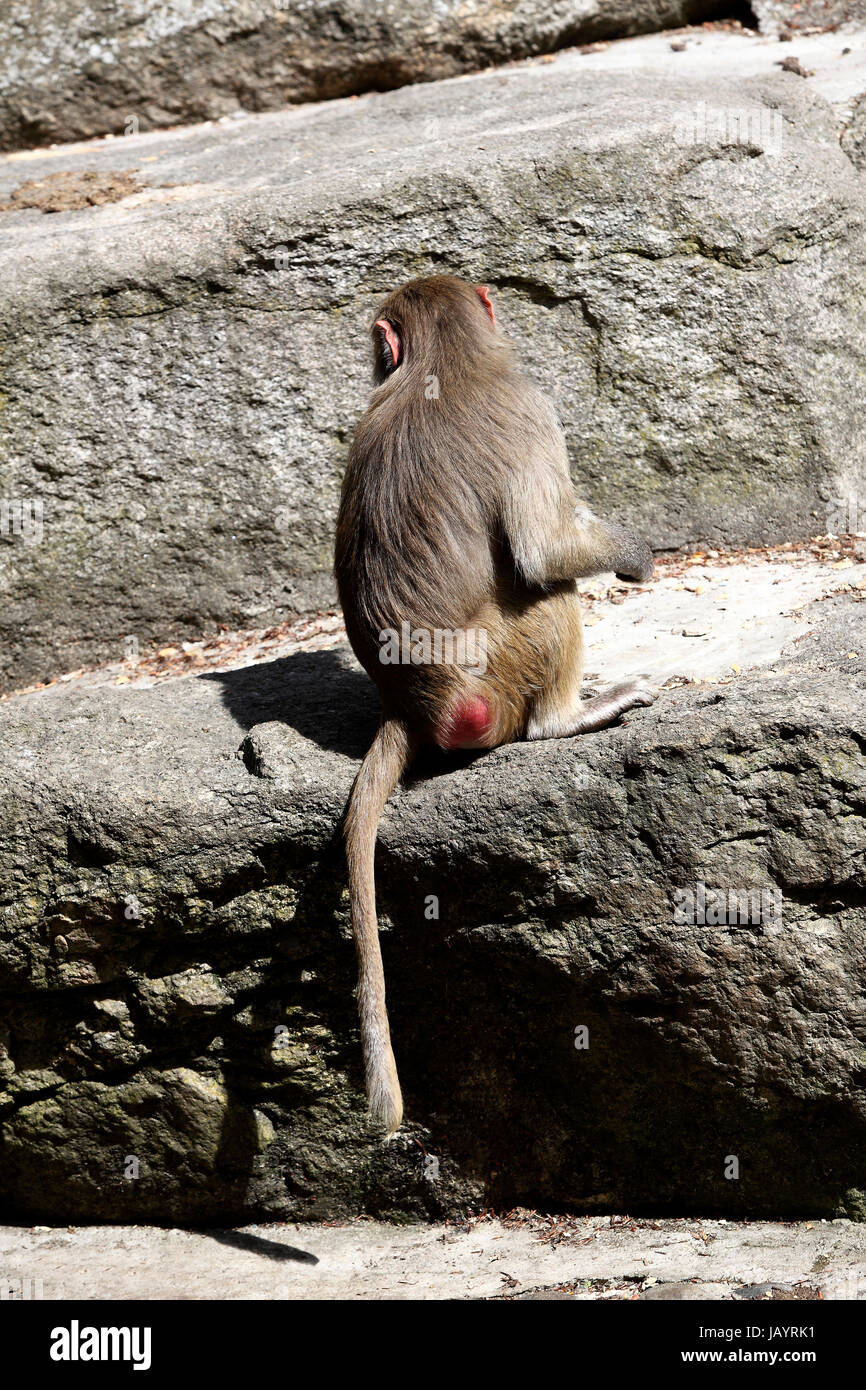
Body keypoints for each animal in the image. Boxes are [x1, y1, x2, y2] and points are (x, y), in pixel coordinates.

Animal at [334, 275, 655, 1135]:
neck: (439, 362)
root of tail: (417, 709)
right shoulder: (530, 406)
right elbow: (545, 549)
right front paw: (635, 555)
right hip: (500, 679)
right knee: (545, 590)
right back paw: (566, 716)